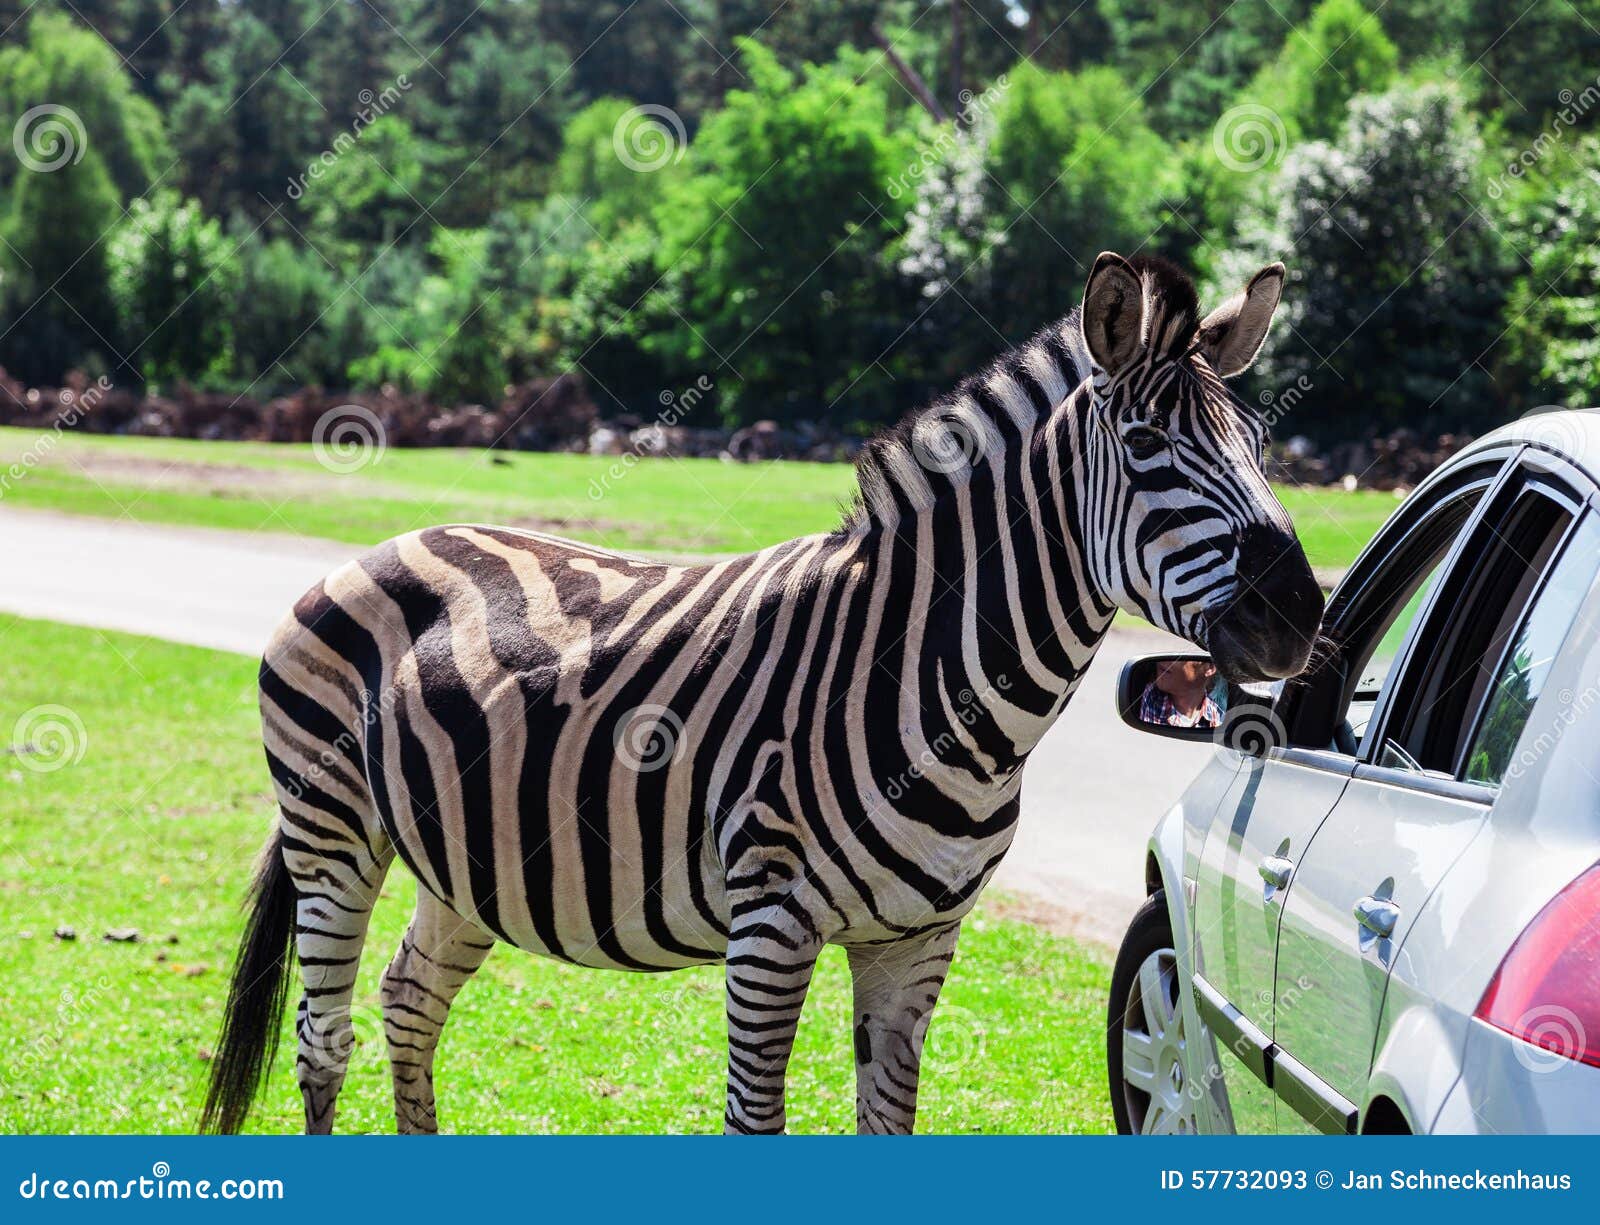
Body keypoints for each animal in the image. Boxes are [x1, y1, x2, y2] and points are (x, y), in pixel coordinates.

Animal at [200, 251, 1324, 1136]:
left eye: (1262, 448)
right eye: (1146, 450)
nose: (1301, 614)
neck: (940, 692)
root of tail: (382, 544)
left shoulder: (919, 941)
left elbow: (889, 1121)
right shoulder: (771, 920)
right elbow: (755, 1117)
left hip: (462, 862)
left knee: (408, 1002)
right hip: (332, 827)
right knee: (324, 1036)